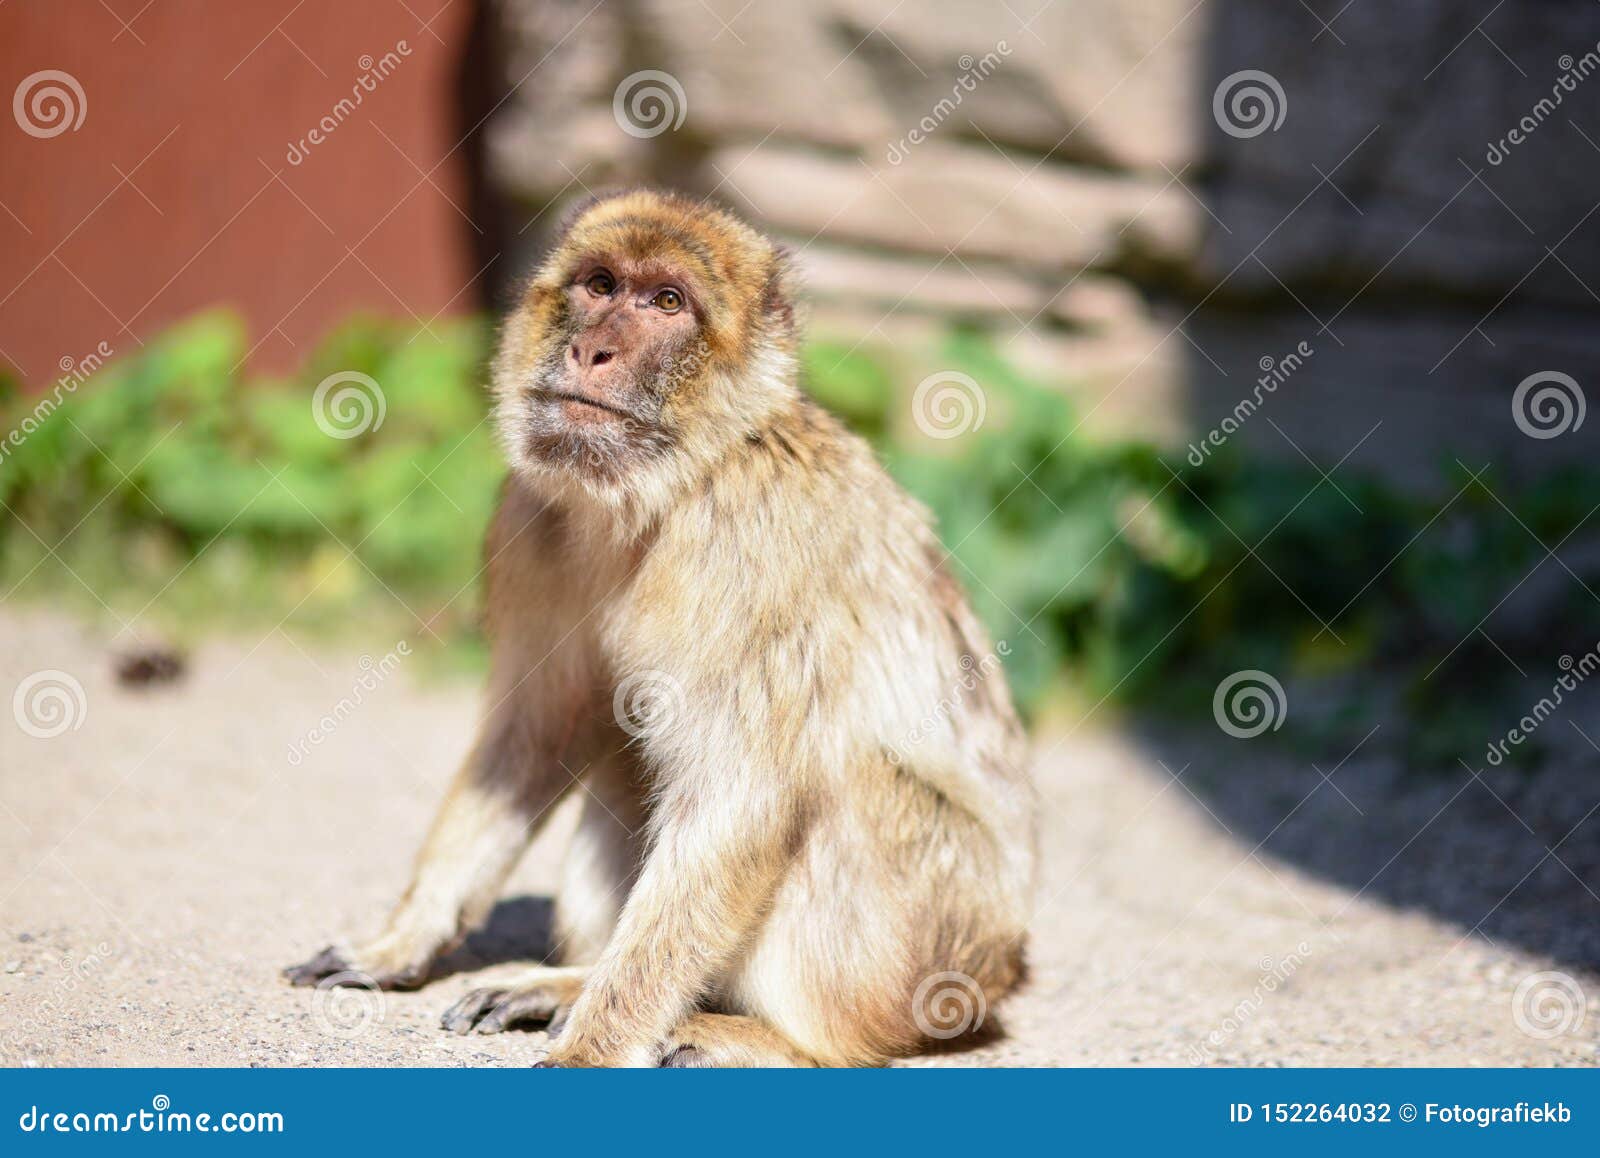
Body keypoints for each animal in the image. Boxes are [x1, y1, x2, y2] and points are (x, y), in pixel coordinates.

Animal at [285, 189, 1036, 1067]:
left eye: (666, 302)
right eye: (601, 285)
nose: (593, 350)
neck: (663, 495)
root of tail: (1004, 969)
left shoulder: (751, 548)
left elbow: (741, 800)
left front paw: (590, 1052)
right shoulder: (527, 523)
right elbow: (537, 731)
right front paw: (401, 941)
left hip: (929, 961)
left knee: (849, 781)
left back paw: (777, 1039)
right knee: (622, 750)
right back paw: (573, 985)